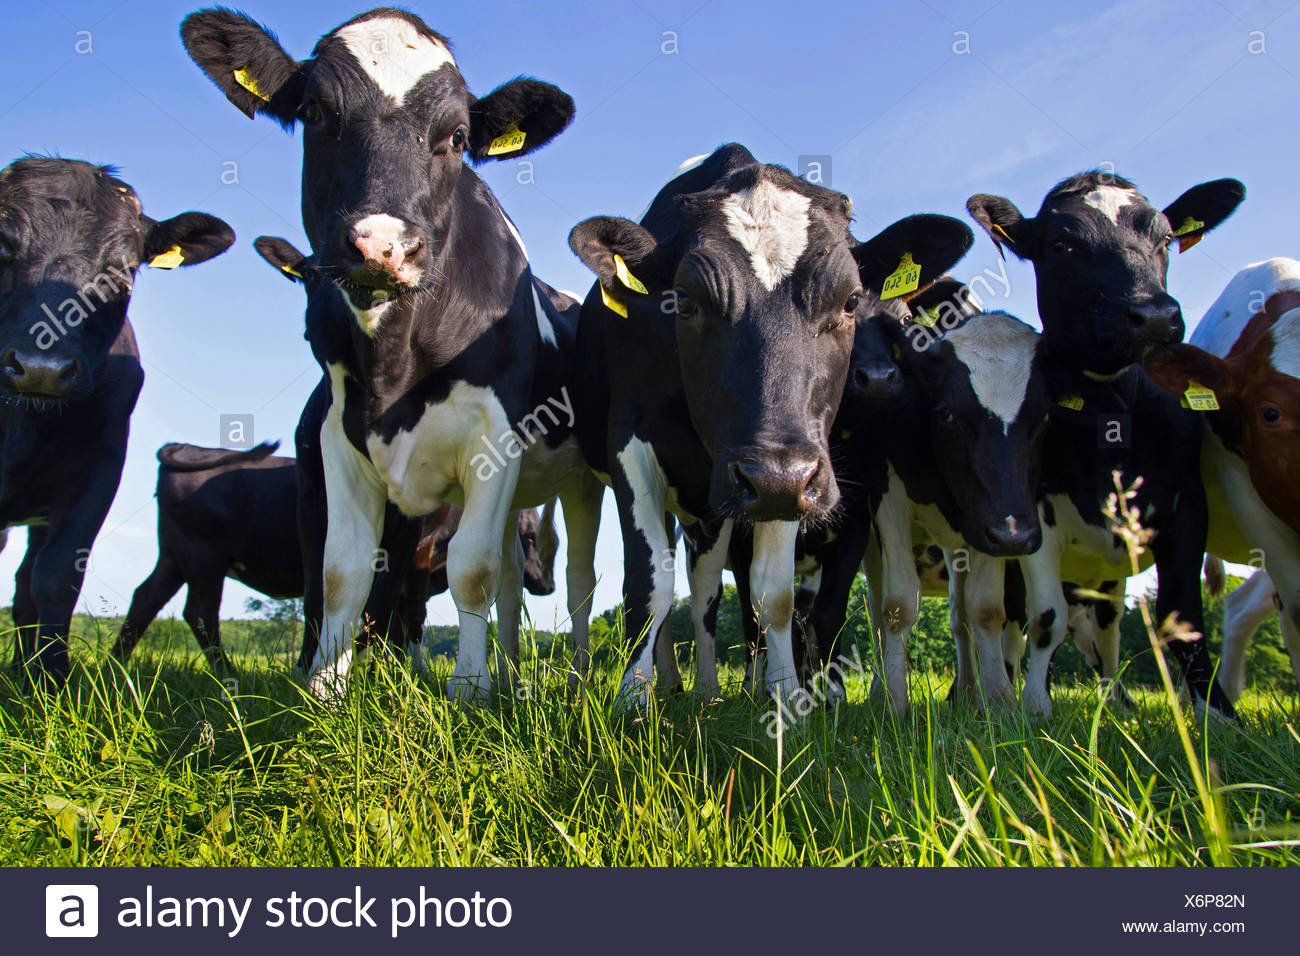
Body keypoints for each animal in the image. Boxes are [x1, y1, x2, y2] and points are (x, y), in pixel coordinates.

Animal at [0, 156, 234, 689]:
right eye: (2, 243)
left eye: (122, 271)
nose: (42, 367)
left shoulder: (100, 468)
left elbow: (57, 575)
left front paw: (51, 683)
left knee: (26, 582)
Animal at [110, 441, 553, 670]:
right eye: (530, 538)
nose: (546, 586)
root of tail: (191, 448)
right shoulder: (416, 555)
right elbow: (406, 618)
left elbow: (393, 620)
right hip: (203, 560)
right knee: (200, 614)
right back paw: (226, 678)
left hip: (175, 556)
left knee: (145, 599)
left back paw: (116, 669)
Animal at [183, 7, 601, 702]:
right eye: (316, 112)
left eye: (457, 136)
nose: (382, 246)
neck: (396, 365)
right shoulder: (340, 439)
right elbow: (342, 573)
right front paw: (326, 689)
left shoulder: (492, 439)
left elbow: (470, 571)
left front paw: (469, 692)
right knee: (514, 578)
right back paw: (513, 675)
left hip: (583, 480)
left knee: (578, 581)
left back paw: (572, 677)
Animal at [567, 142, 974, 708]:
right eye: (685, 300)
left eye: (850, 301)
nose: (775, 477)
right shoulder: (633, 442)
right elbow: (648, 587)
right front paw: (632, 700)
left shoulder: (793, 472)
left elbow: (774, 596)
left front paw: (785, 697)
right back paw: (672, 685)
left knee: (709, 590)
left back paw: (705, 688)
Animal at [967, 170, 1245, 718]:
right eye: (1061, 244)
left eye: (1166, 239)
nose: (1153, 314)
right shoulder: (1032, 513)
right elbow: (1045, 616)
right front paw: (1035, 706)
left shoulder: (1188, 504)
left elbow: (1183, 615)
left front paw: (1215, 713)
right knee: (1019, 620)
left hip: (1109, 576)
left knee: (1109, 627)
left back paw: (1116, 700)